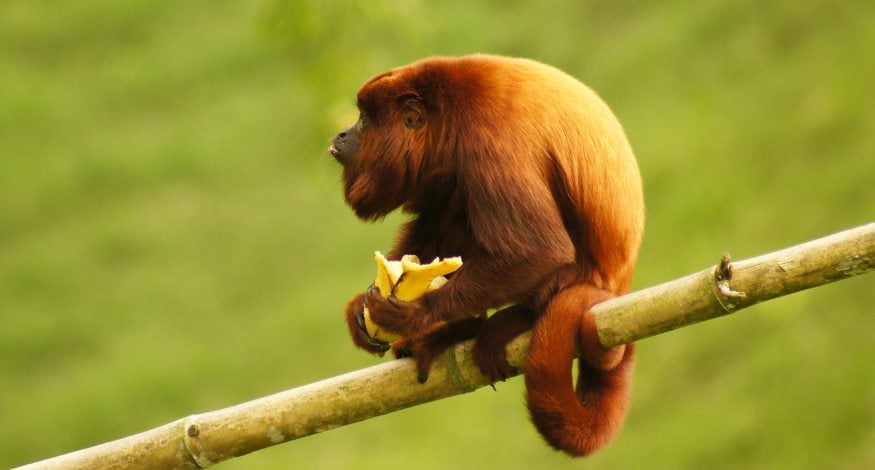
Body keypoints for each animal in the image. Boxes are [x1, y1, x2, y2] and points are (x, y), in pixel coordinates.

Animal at [328, 54, 644, 457]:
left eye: (365, 121)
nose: (341, 134)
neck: (448, 117)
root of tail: (617, 285)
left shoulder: (487, 140)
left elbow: (540, 249)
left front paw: (415, 316)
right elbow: (431, 223)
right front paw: (361, 307)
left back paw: (514, 319)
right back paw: (458, 330)